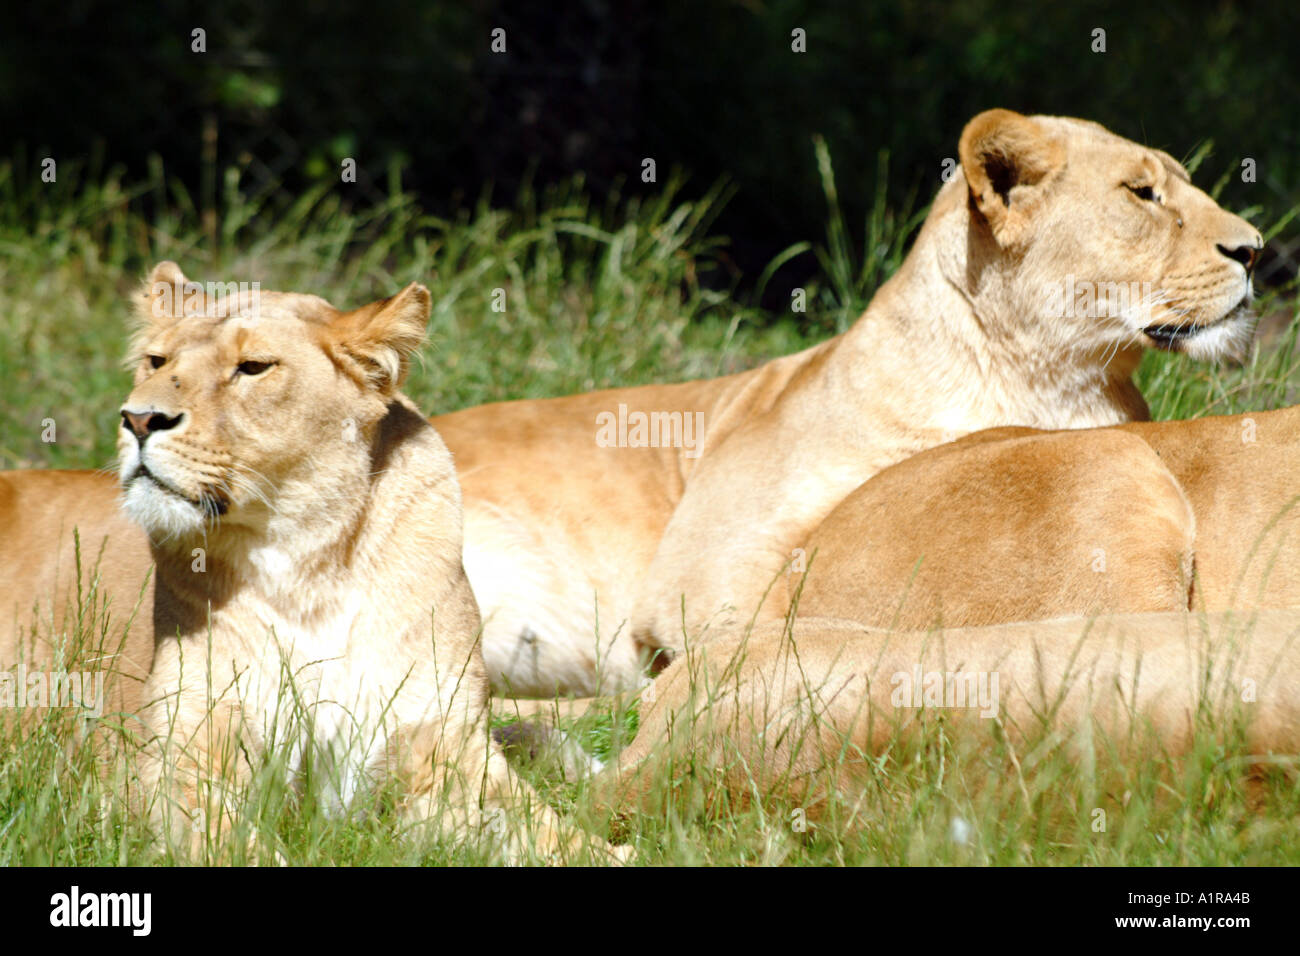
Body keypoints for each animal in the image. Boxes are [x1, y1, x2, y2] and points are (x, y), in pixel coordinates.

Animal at [114, 265, 619, 862]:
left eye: (253, 367)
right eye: (156, 361)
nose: (138, 419)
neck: (308, 565)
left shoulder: (444, 746)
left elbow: (550, 834)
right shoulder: (183, 751)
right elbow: (228, 841)